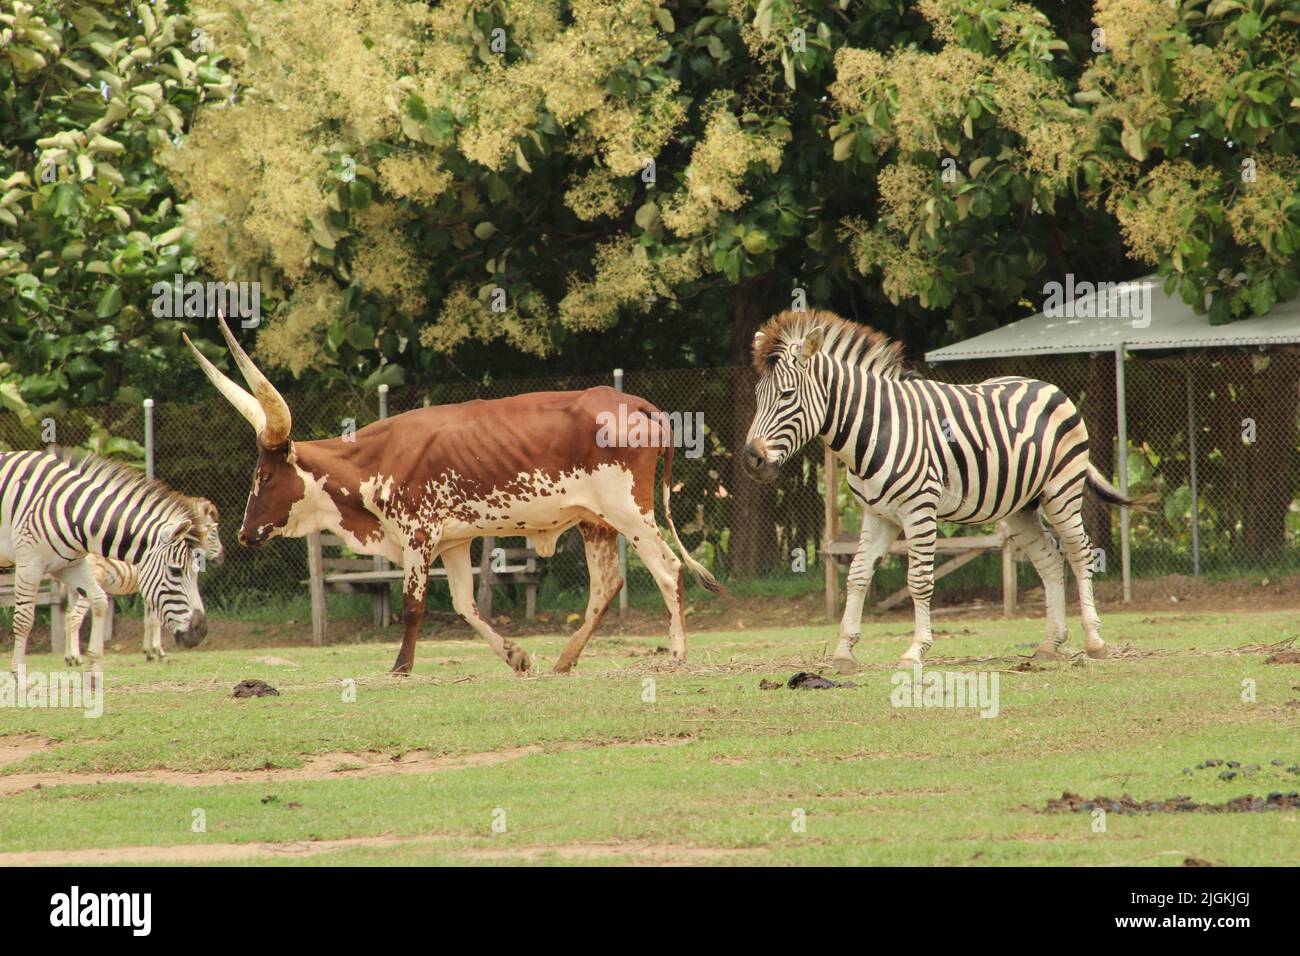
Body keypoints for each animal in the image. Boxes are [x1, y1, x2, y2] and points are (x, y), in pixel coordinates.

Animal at [62, 498, 222, 663]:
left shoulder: (152, 590)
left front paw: (149, 652)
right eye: (214, 533)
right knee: (74, 617)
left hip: (74, 588)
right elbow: (156, 621)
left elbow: (148, 621)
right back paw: (76, 657)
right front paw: (159, 652)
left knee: (67, 617)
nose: (221, 559)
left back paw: (69, 658)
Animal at [184, 318, 720, 675]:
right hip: (595, 520)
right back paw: (565, 659)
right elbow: (465, 605)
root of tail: (632, 401)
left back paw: (677, 652)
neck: (373, 461)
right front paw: (516, 656)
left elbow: (413, 604)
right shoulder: (455, 542)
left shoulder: (418, 535)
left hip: (629, 510)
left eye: (264, 475)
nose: (245, 533)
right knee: (607, 585)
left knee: (668, 568)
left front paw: (400, 667)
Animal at [741, 309, 1147, 670]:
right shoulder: (878, 514)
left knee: (1080, 553)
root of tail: (1047, 385)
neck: (875, 429)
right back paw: (1050, 644)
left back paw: (1095, 641)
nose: (751, 459)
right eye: (758, 396)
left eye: (787, 395)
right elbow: (857, 576)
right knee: (1049, 558)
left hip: (1061, 491)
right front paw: (844, 653)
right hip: (1019, 506)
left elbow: (918, 581)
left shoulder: (919, 510)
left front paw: (915, 651)